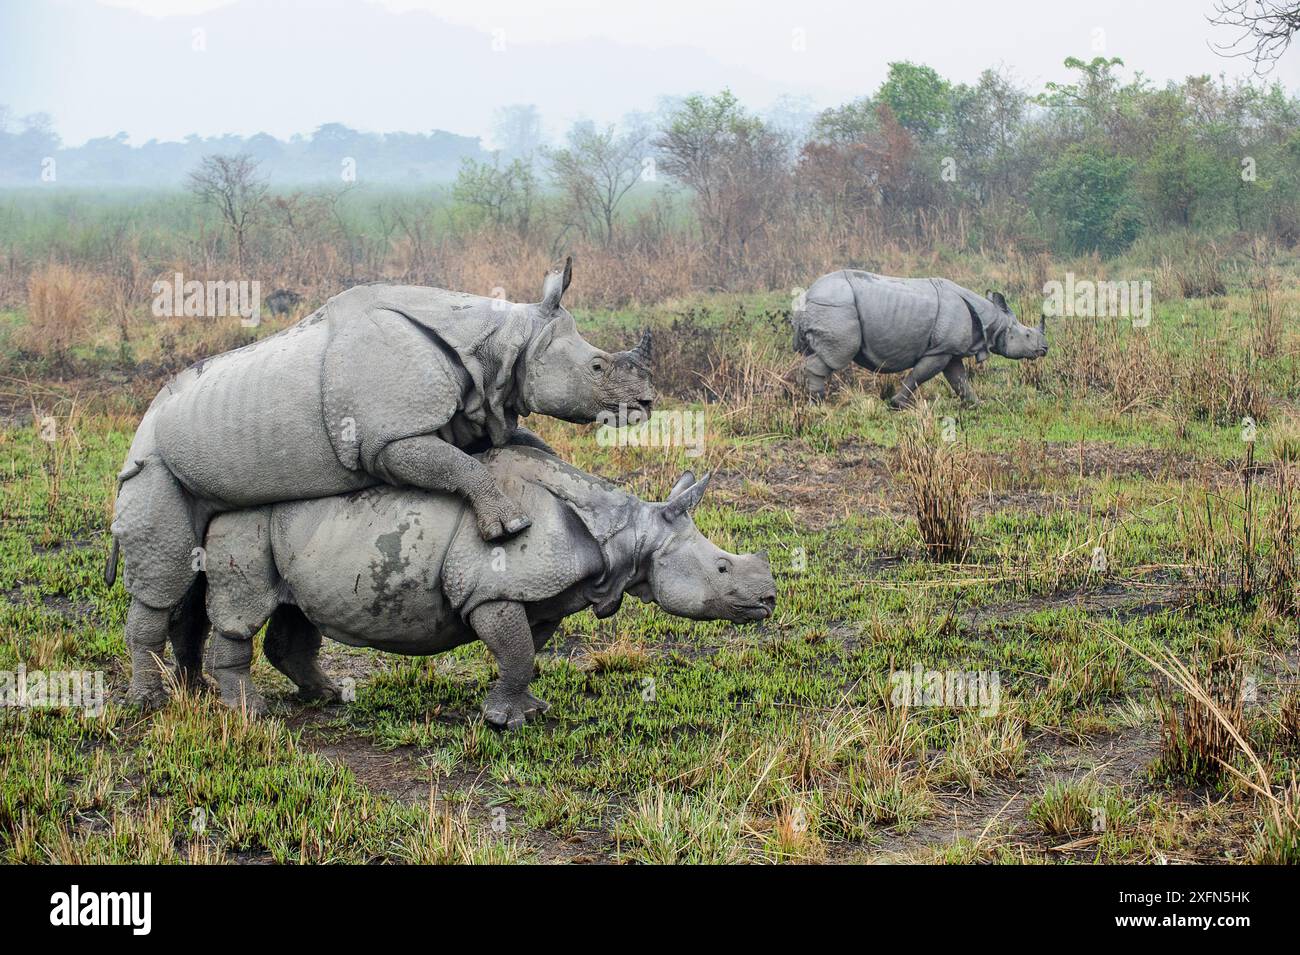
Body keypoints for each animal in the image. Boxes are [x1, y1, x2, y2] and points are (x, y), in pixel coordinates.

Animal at [109, 260, 655, 709]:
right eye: (597, 367)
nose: (647, 404)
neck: (502, 344)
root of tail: (145, 421)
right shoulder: (387, 440)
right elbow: (457, 467)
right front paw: (508, 527)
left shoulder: (472, 413)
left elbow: (516, 444)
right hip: (151, 457)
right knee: (166, 572)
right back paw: (152, 703)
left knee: (195, 571)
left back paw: (204, 692)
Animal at [197, 447, 777, 728]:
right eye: (722, 570)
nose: (769, 599)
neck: (625, 532)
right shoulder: (488, 591)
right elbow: (516, 652)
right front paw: (502, 723)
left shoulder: (541, 599)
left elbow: (526, 654)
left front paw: (527, 710)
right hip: (246, 522)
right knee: (242, 610)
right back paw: (252, 714)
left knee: (296, 611)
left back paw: (328, 695)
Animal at [792, 270, 1047, 407]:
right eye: (1027, 334)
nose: (1045, 348)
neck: (991, 320)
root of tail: (808, 294)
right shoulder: (940, 350)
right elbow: (919, 375)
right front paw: (897, 403)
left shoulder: (950, 349)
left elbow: (959, 379)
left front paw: (976, 404)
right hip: (836, 307)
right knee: (836, 355)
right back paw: (818, 403)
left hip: (827, 307)